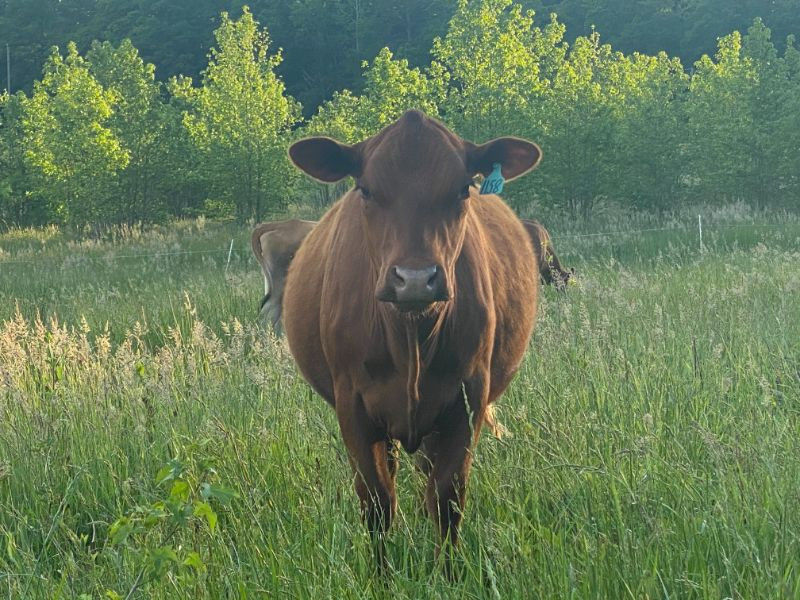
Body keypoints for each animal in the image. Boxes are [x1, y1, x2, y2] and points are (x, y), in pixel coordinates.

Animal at [282, 110, 542, 571]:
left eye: (463, 188)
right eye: (365, 189)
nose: (416, 279)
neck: (410, 340)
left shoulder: (468, 397)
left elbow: (447, 497)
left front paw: (447, 573)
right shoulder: (352, 403)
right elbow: (377, 501)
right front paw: (380, 575)